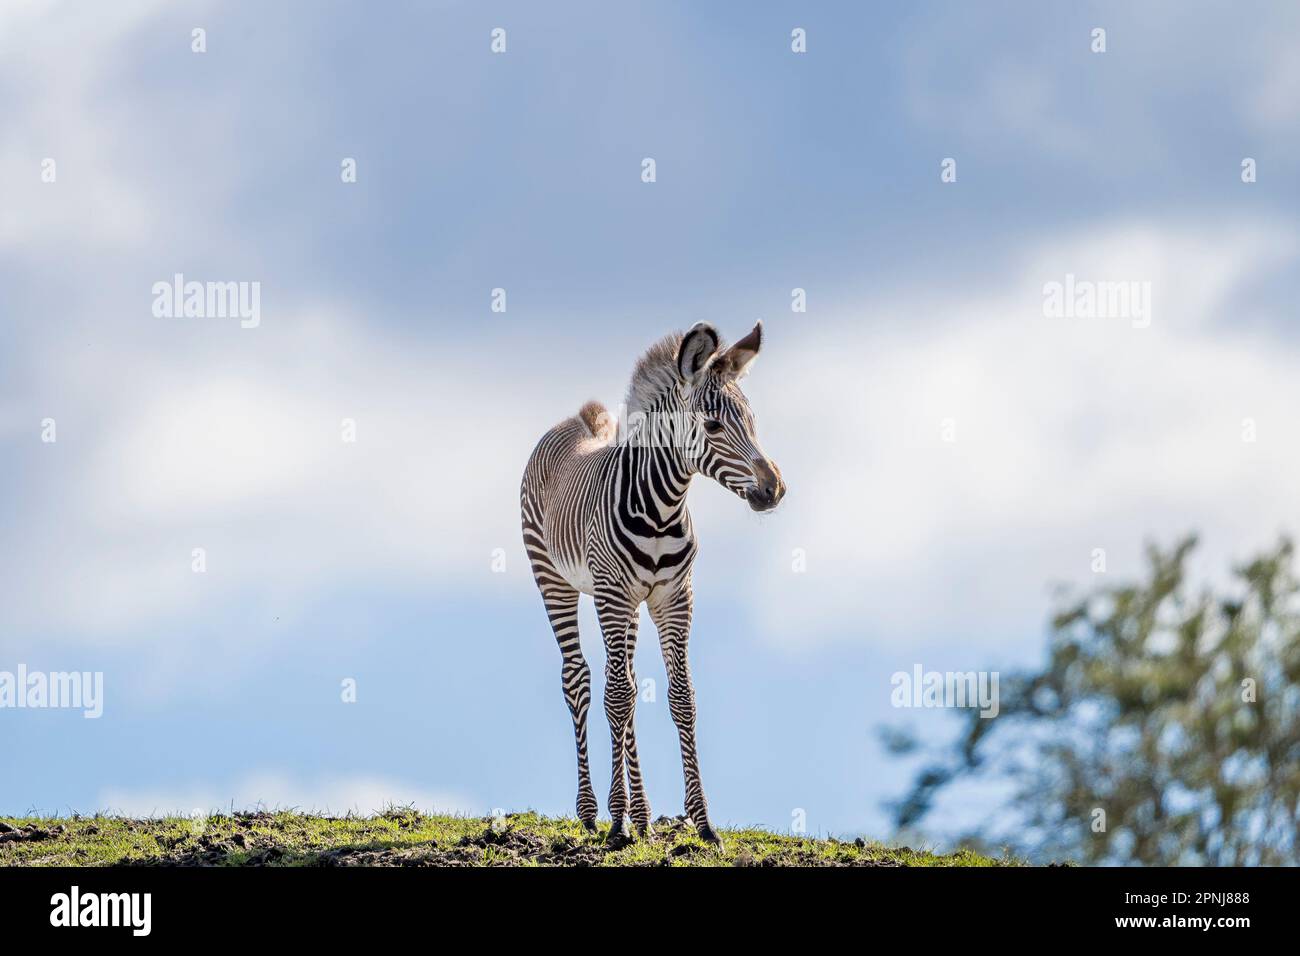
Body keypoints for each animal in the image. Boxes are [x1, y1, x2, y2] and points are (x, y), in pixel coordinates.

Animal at [520, 320, 786, 845]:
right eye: (713, 426)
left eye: (753, 422)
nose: (774, 490)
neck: (662, 508)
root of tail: (577, 423)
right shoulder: (613, 594)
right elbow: (617, 696)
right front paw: (617, 824)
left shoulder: (674, 597)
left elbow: (679, 697)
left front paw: (702, 825)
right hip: (555, 580)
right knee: (580, 680)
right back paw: (594, 813)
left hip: (629, 605)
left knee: (621, 680)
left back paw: (642, 816)